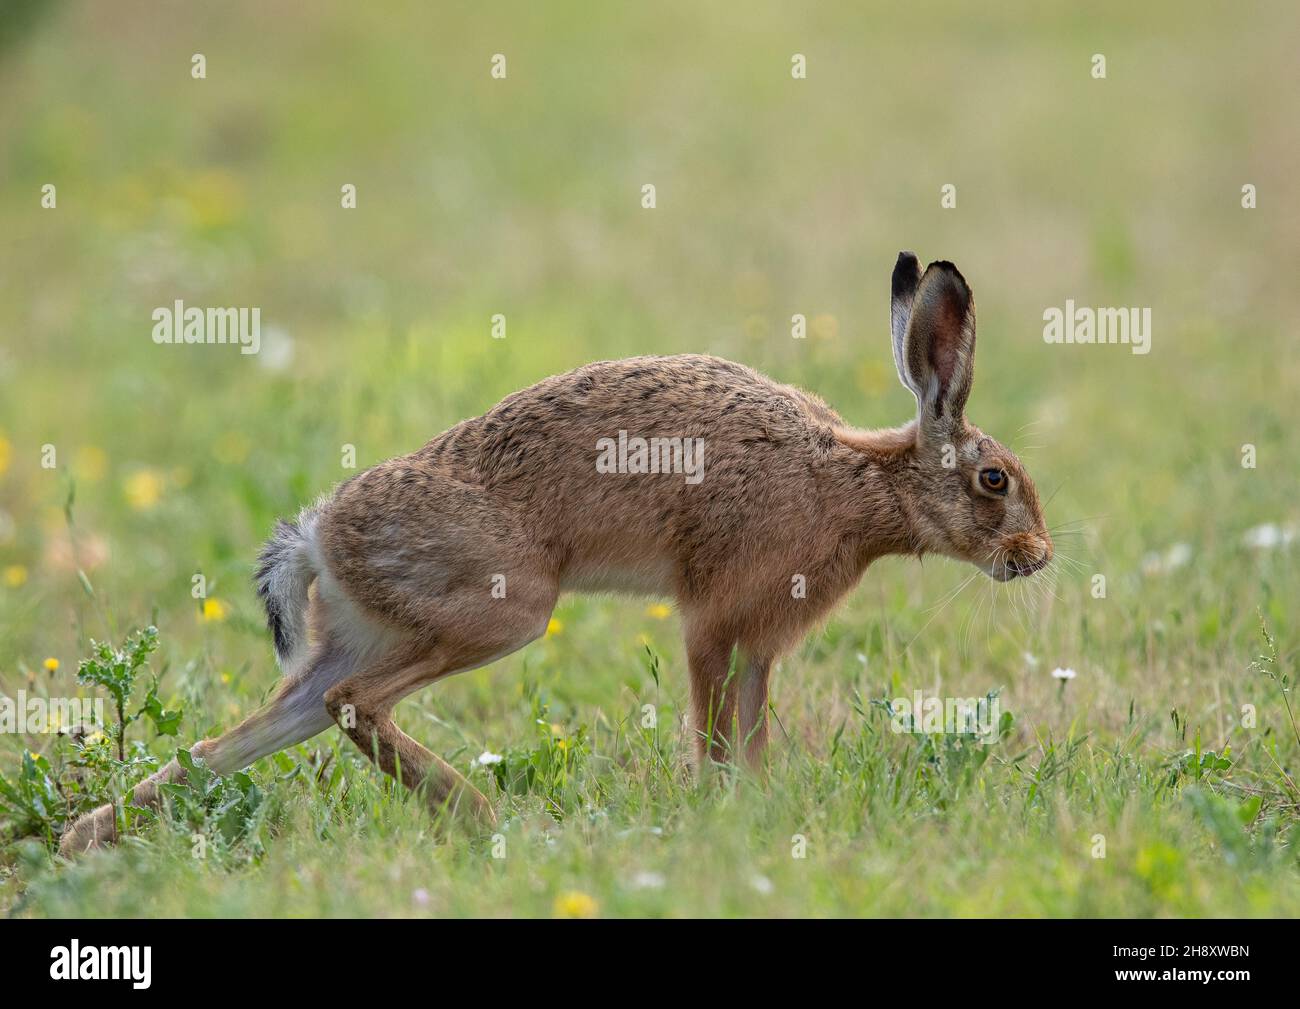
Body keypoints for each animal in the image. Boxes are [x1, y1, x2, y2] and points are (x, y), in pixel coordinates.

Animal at [60, 253, 1052, 855]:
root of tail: (317, 535)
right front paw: (721, 814)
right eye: (994, 479)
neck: (861, 480)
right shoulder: (715, 620)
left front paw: (758, 810)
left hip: (367, 634)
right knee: (355, 705)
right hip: (502, 609)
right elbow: (715, 725)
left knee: (260, 726)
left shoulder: (760, 643)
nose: (1038, 556)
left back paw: (83, 838)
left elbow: (752, 727)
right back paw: (484, 818)